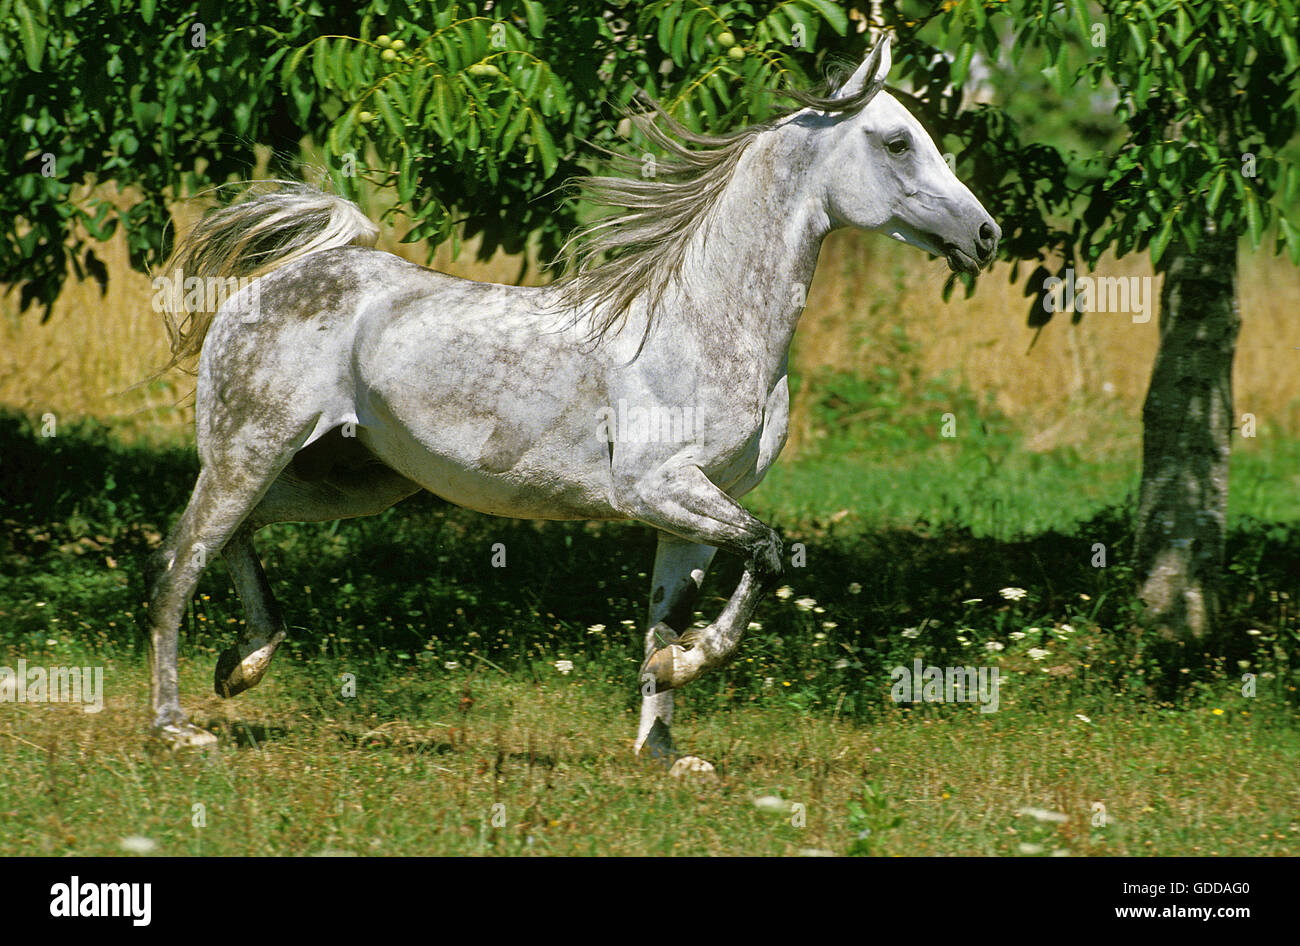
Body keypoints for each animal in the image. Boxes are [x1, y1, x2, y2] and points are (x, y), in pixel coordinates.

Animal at [144, 34, 999, 764]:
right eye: (897, 142)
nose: (987, 235)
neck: (703, 320)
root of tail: (269, 282)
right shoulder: (656, 488)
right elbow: (765, 550)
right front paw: (689, 664)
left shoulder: (693, 508)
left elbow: (666, 613)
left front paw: (665, 751)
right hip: (250, 452)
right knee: (179, 562)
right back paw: (178, 726)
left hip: (350, 480)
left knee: (237, 536)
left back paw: (243, 666)